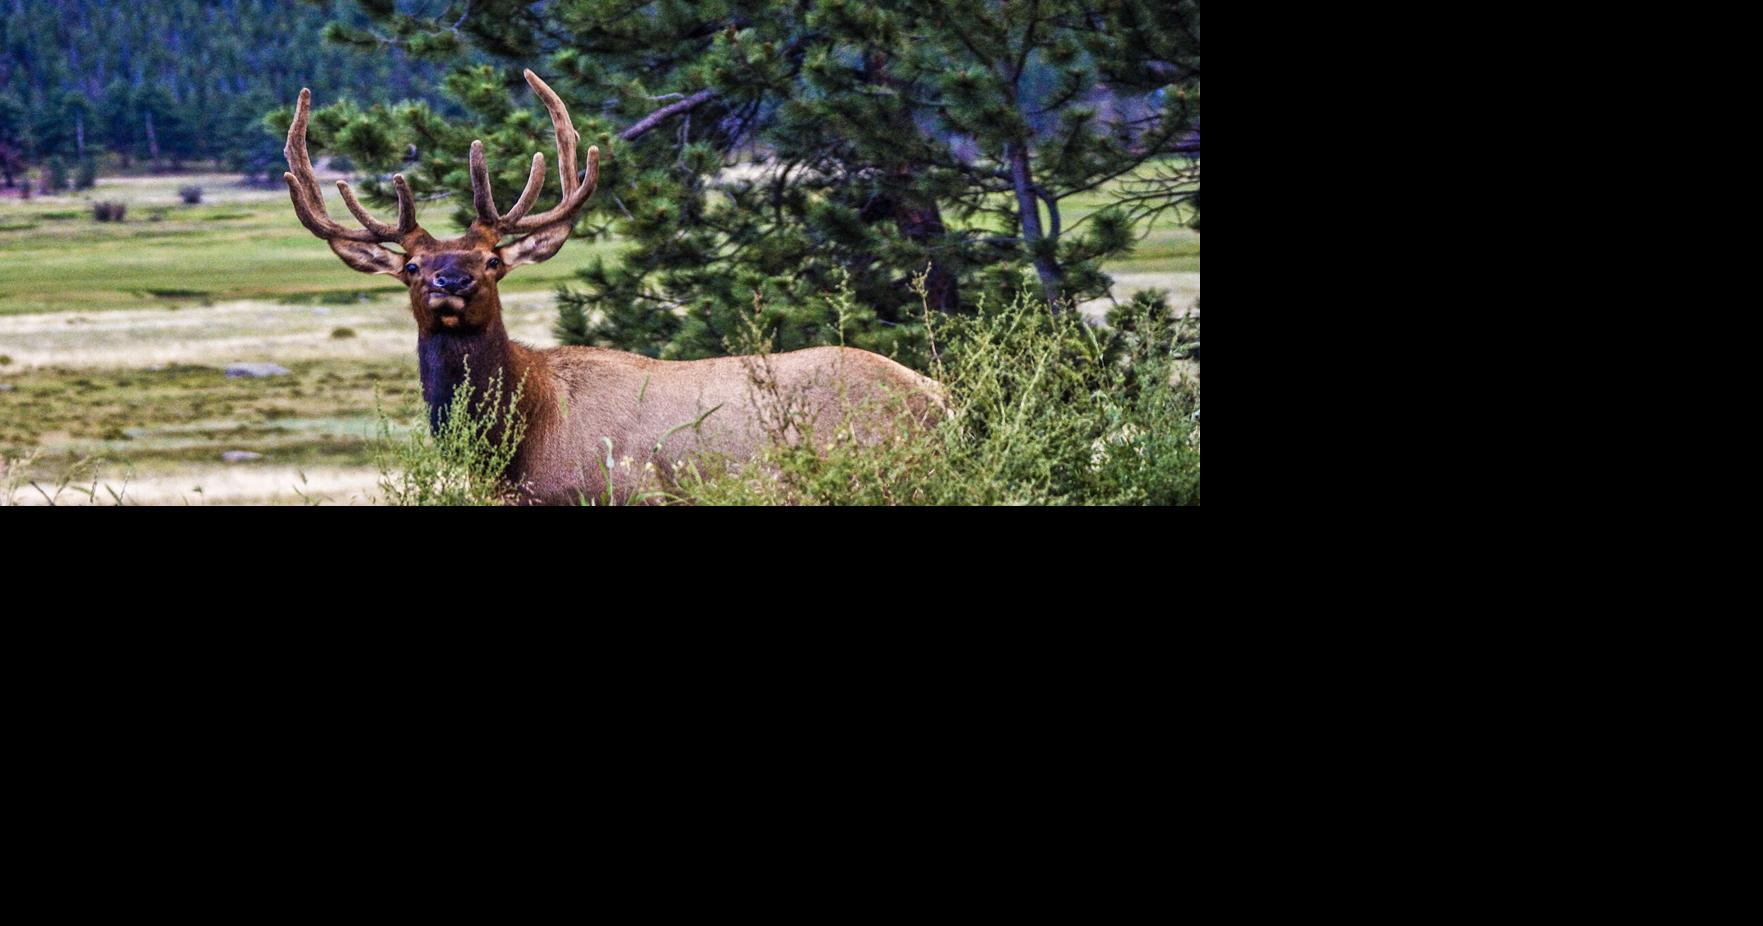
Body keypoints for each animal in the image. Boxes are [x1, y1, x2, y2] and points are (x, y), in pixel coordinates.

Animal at [283, 70, 942, 504]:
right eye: (412, 268)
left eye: (494, 260)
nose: (452, 279)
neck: (526, 439)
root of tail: (941, 399)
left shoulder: (632, 489)